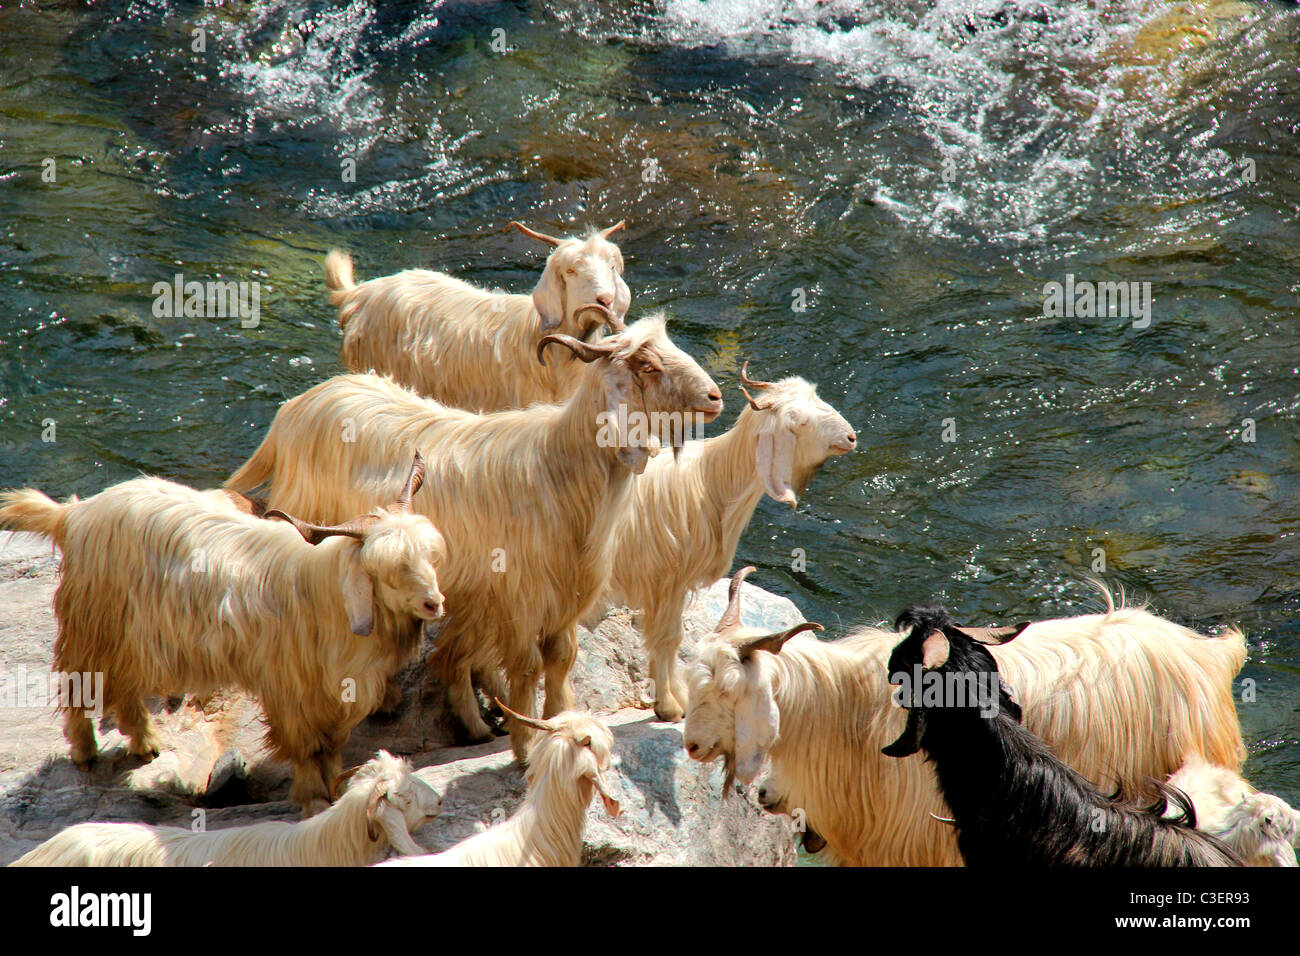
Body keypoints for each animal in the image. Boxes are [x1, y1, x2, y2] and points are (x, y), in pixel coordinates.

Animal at [0, 454, 444, 814]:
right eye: (388, 570)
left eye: (429, 556)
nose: (434, 603)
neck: (325, 597)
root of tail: (73, 514)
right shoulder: (289, 690)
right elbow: (307, 749)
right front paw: (313, 800)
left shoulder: (334, 695)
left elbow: (331, 747)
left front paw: (333, 792)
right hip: (93, 622)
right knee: (78, 680)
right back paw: (85, 750)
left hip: (133, 634)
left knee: (124, 687)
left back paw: (146, 743)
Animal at [227, 316, 722, 761]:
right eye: (647, 365)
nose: (715, 396)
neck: (561, 468)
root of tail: (295, 408)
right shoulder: (521, 592)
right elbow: (527, 666)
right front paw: (526, 747)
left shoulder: (564, 592)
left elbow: (561, 658)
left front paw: (560, 722)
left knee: (456, 656)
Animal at [605, 363, 855, 720]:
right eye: (799, 422)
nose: (851, 437)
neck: (712, 482)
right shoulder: (665, 580)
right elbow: (666, 639)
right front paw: (670, 706)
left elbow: (669, 639)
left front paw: (676, 696)